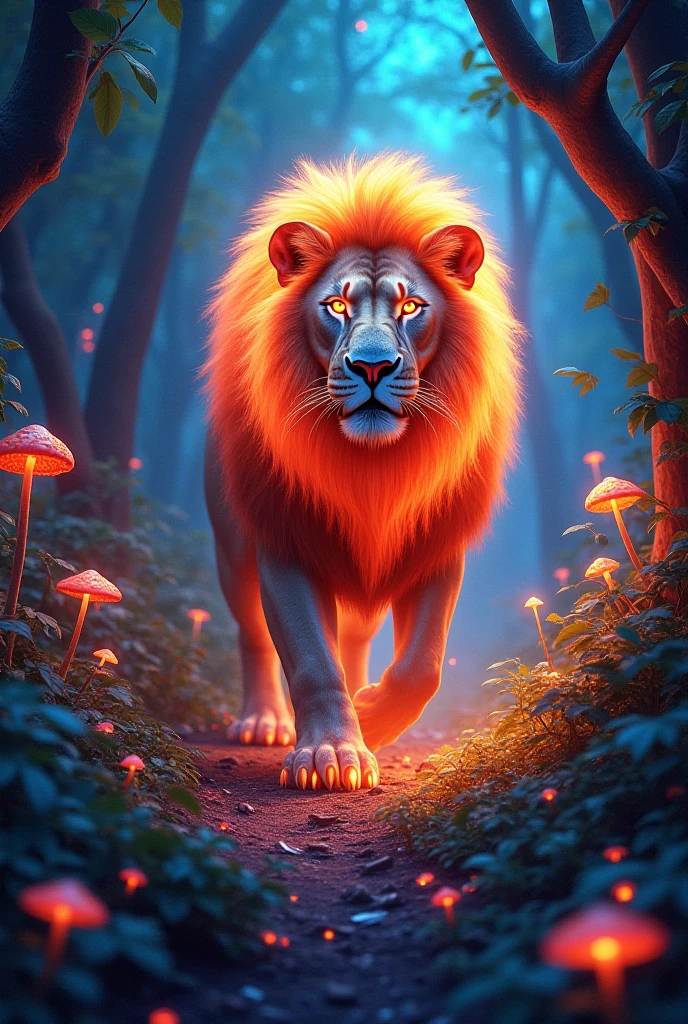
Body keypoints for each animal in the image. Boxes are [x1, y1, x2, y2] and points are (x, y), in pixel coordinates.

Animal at [204, 153, 521, 791]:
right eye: (336, 306)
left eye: (410, 307)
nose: (372, 366)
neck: (371, 469)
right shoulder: (286, 539)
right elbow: (309, 660)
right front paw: (330, 754)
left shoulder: (435, 544)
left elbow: (422, 666)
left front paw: (370, 717)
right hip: (231, 550)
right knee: (253, 635)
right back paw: (263, 721)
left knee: (354, 641)